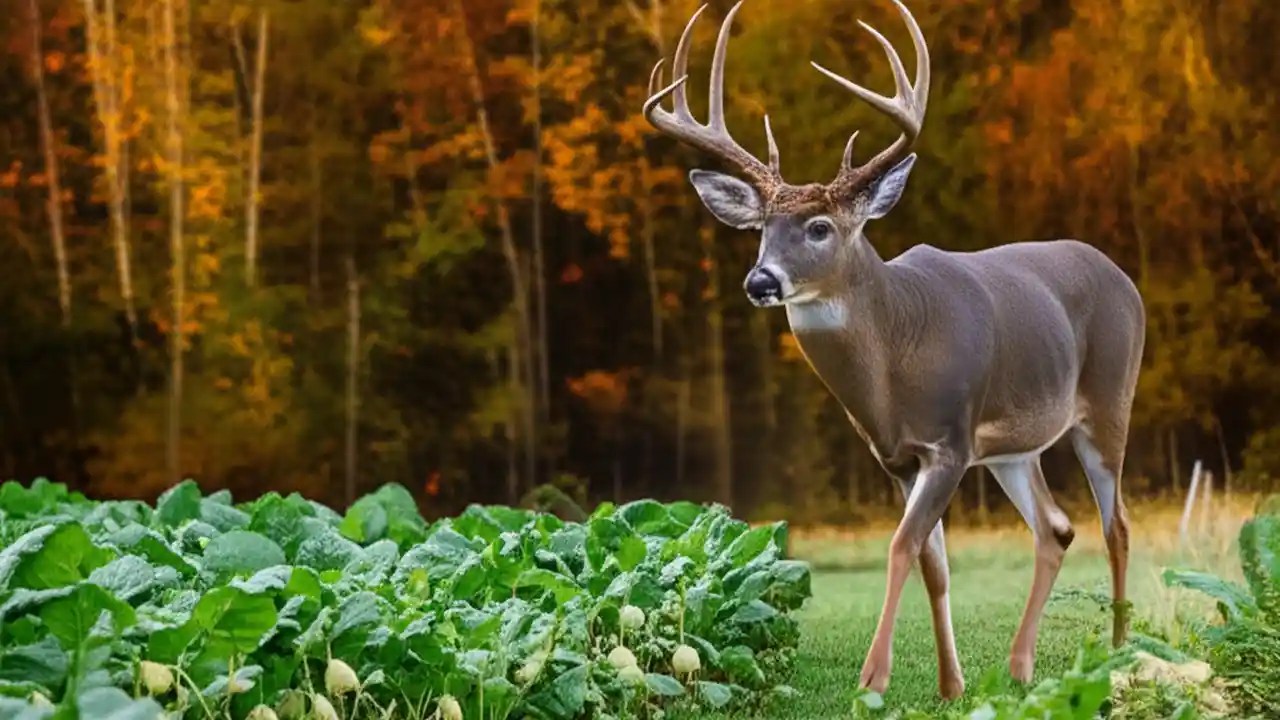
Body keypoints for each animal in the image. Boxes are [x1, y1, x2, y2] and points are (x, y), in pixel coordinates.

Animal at [642, 0, 1145, 700]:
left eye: (819, 227)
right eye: (761, 229)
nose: (760, 281)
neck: (890, 371)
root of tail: (1127, 280)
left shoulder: (949, 442)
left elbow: (901, 547)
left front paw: (872, 678)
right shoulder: (897, 460)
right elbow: (933, 563)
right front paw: (951, 684)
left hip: (1109, 401)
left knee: (1115, 522)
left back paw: (1120, 655)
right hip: (1014, 448)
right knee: (1056, 528)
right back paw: (1019, 667)